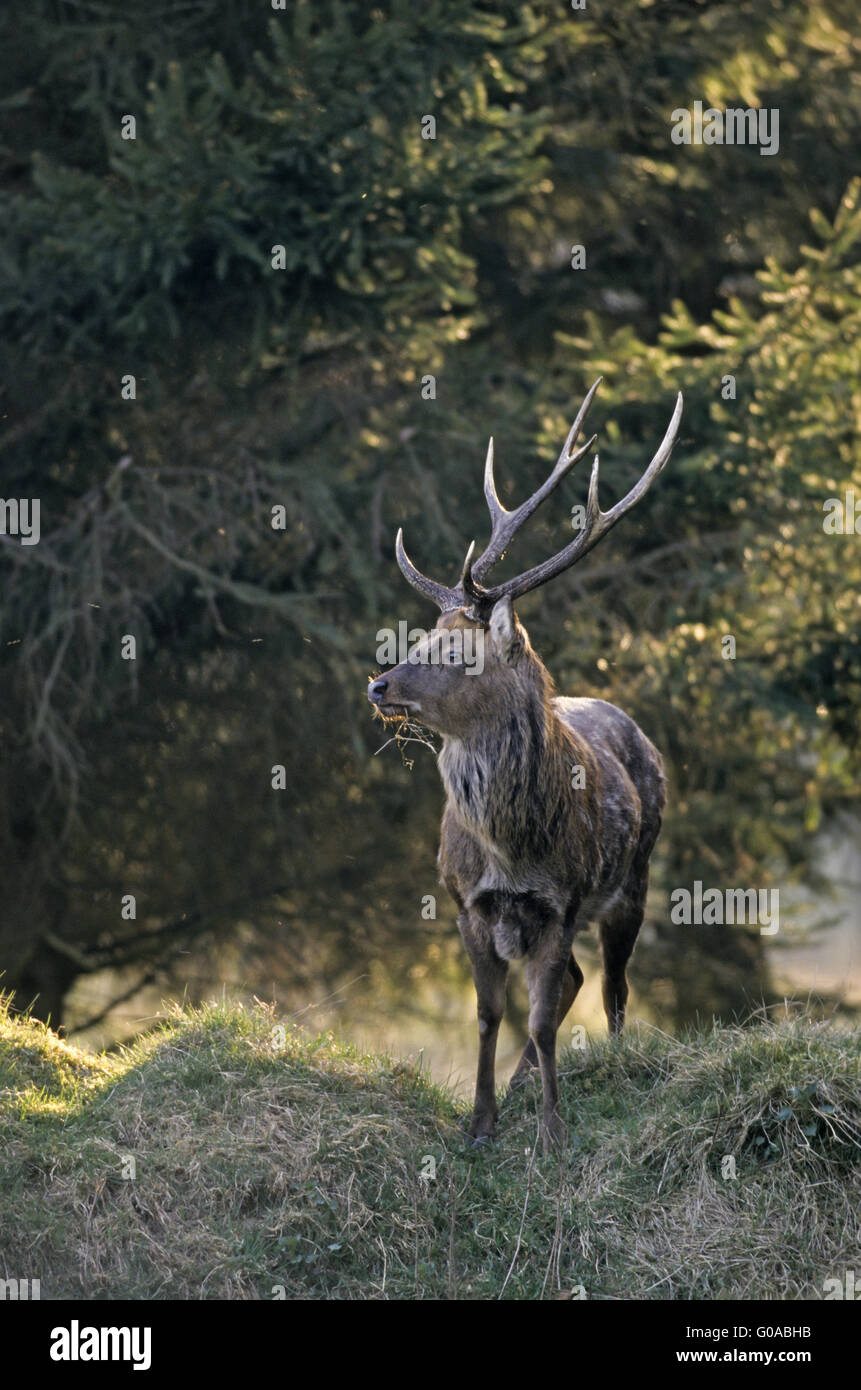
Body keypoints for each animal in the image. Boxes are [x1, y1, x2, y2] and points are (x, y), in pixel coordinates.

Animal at [367, 379, 682, 1152]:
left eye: (457, 653)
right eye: (420, 638)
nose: (378, 686)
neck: (512, 848)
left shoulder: (561, 899)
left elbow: (539, 1018)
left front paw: (552, 1133)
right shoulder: (466, 903)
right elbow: (488, 1016)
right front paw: (480, 1124)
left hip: (633, 878)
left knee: (611, 987)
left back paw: (614, 1066)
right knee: (574, 982)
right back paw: (516, 1088)